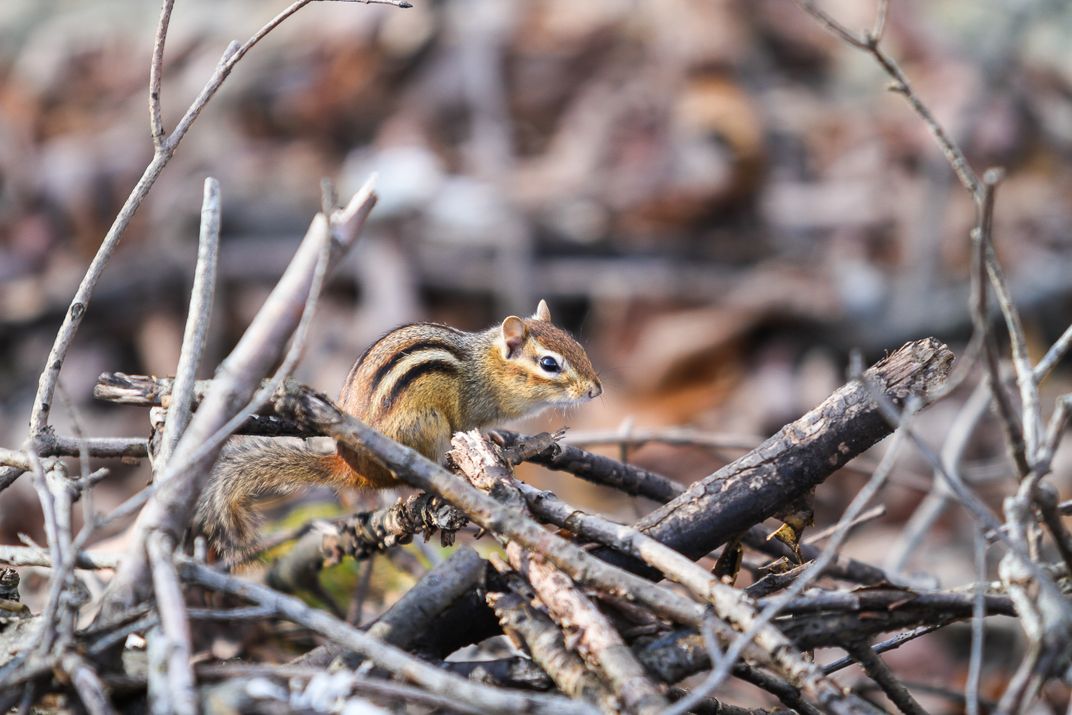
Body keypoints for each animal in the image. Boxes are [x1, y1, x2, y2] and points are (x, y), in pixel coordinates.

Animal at [196, 299, 602, 556]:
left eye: (580, 347)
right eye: (549, 364)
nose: (596, 390)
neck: (488, 368)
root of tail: (353, 467)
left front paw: (500, 436)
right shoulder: (468, 411)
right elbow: (471, 427)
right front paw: (491, 441)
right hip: (427, 427)